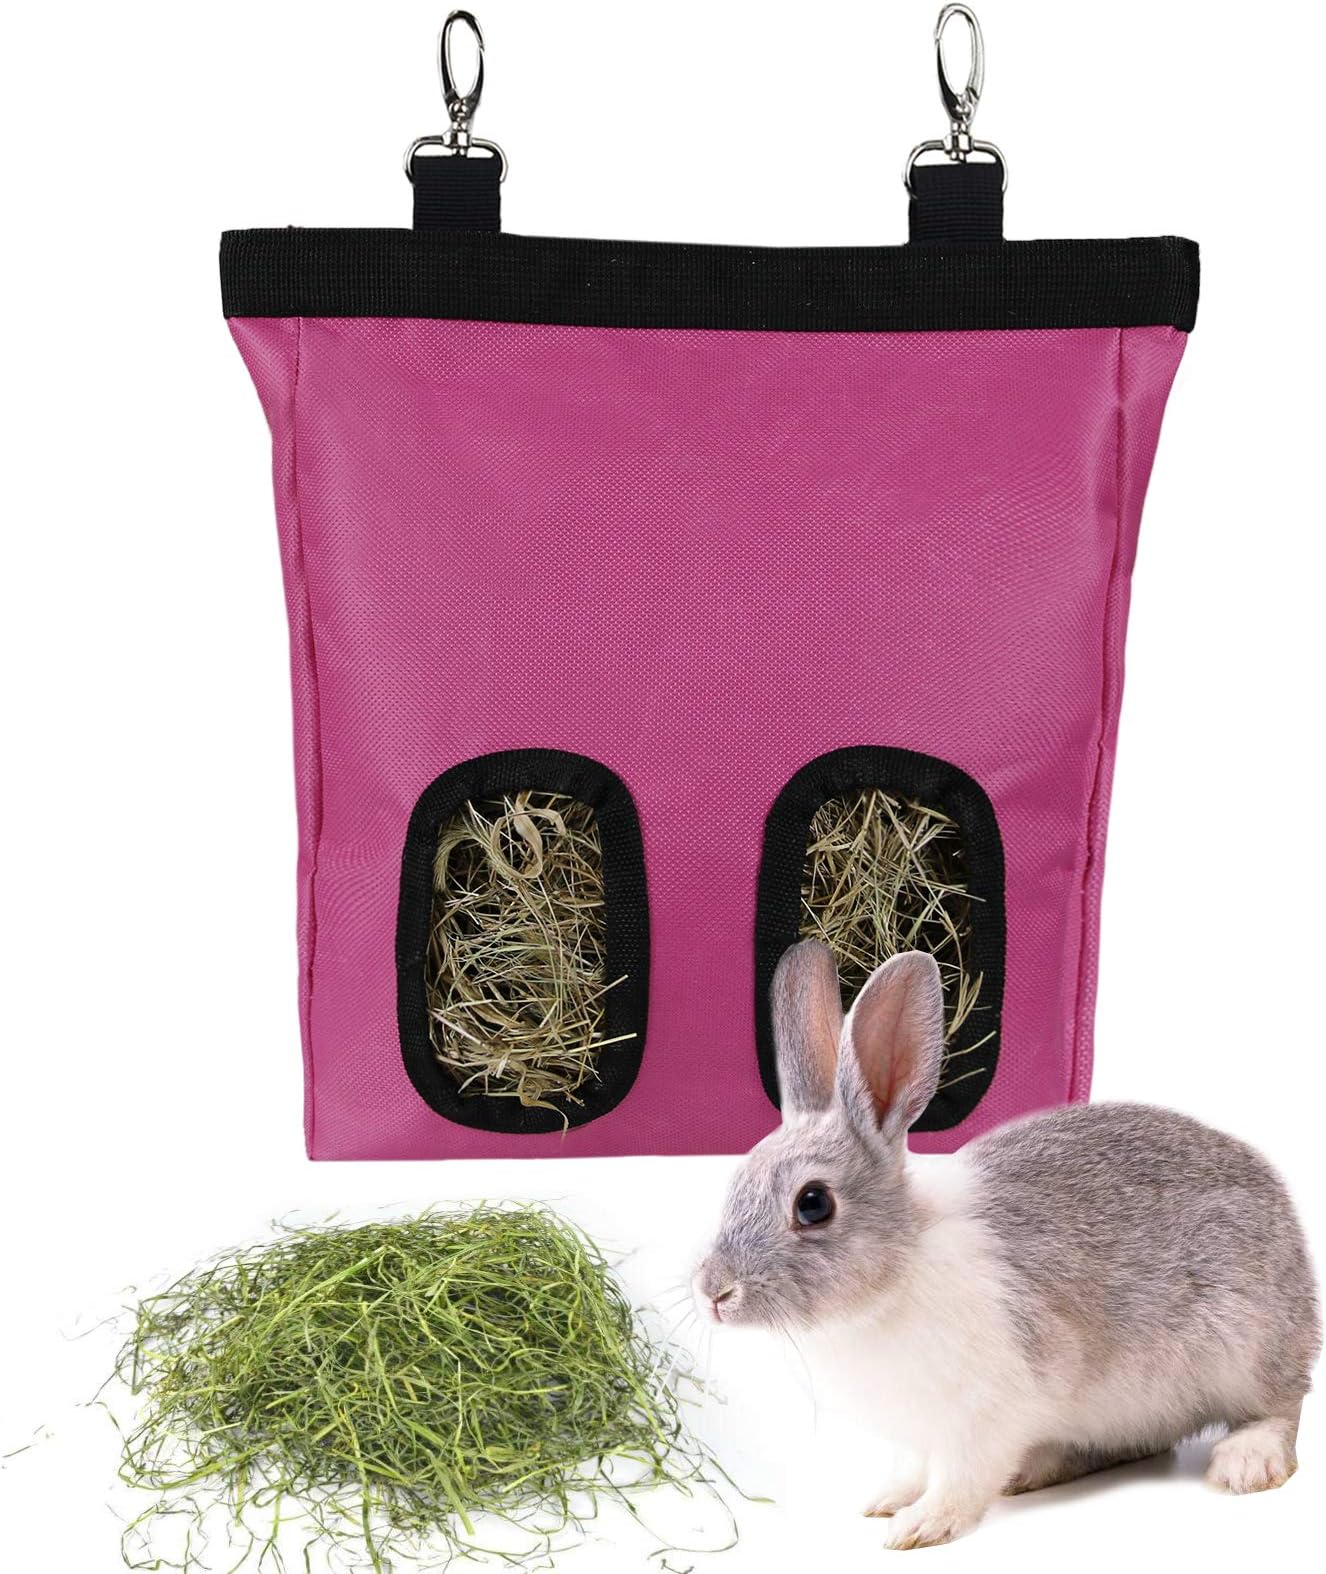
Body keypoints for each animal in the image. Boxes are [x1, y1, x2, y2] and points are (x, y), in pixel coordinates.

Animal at [693, 940, 1320, 1550]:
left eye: (813, 1204)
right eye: (735, 1182)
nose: (713, 1292)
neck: (896, 1274)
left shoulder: (985, 1414)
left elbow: (961, 1478)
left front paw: (921, 1526)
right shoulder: (919, 1433)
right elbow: (912, 1467)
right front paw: (887, 1500)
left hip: (1245, 1348)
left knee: (1282, 1409)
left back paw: (1245, 1464)